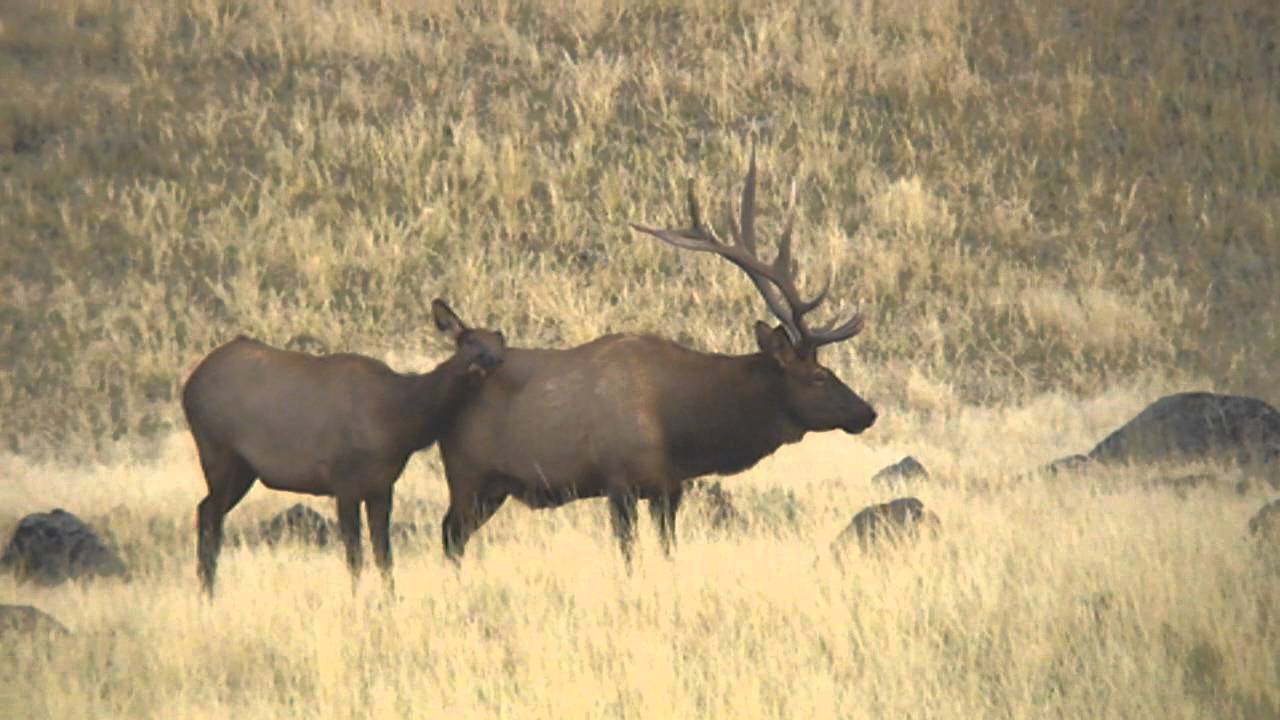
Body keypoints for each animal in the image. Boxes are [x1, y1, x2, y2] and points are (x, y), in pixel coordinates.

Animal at [181, 299, 505, 595]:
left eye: (500, 339)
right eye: (469, 341)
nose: (493, 360)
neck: (397, 424)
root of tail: (189, 383)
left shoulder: (381, 486)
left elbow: (384, 555)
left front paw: (390, 600)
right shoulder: (344, 482)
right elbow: (355, 557)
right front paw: (357, 599)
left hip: (243, 469)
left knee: (207, 511)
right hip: (218, 452)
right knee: (208, 514)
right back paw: (207, 590)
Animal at [436, 152, 876, 563]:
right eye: (819, 375)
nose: (868, 412)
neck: (682, 426)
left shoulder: (669, 487)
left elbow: (667, 549)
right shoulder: (619, 481)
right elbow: (629, 552)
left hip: (493, 488)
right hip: (468, 474)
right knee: (450, 534)